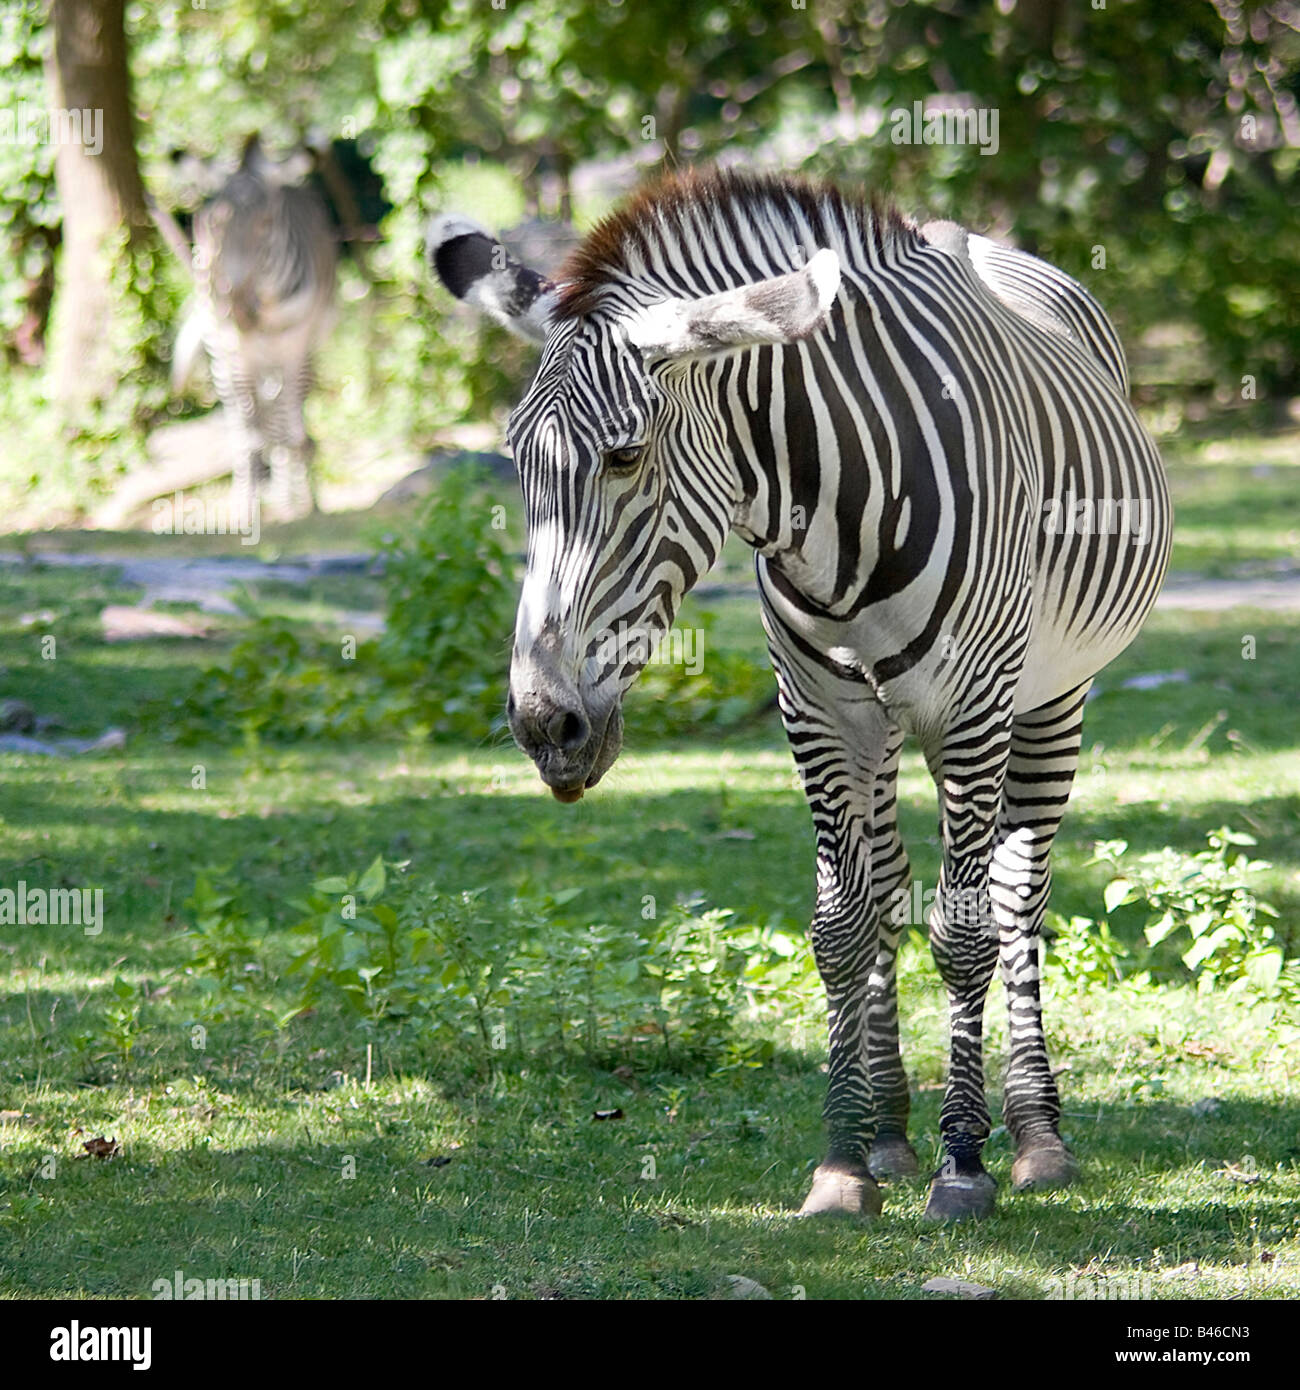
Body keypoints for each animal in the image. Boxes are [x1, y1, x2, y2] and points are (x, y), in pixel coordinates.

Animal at [176, 136, 337, 523]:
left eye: (266, 223)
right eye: (213, 226)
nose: (236, 310)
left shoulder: (295, 345)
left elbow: (287, 427)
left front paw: (293, 505)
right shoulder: (236, 350)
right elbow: (250, 433)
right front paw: (247, 510)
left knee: (286, 416)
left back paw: (299, 491)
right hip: (221, 352)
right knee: (243, 421)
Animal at [426, 169, 1171, 1221]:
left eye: (624, 457)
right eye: (518, 464)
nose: (544, 727)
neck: (834, 512)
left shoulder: (974, 707)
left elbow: (967, 933)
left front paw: (965, 1167)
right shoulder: (816, 711)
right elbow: (842, 927)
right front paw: (845, 1161)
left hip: (1048, 695)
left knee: (1016, 898)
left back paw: (1036, 1137)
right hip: (889, 725)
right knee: (897, 888)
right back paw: (895, 1128)